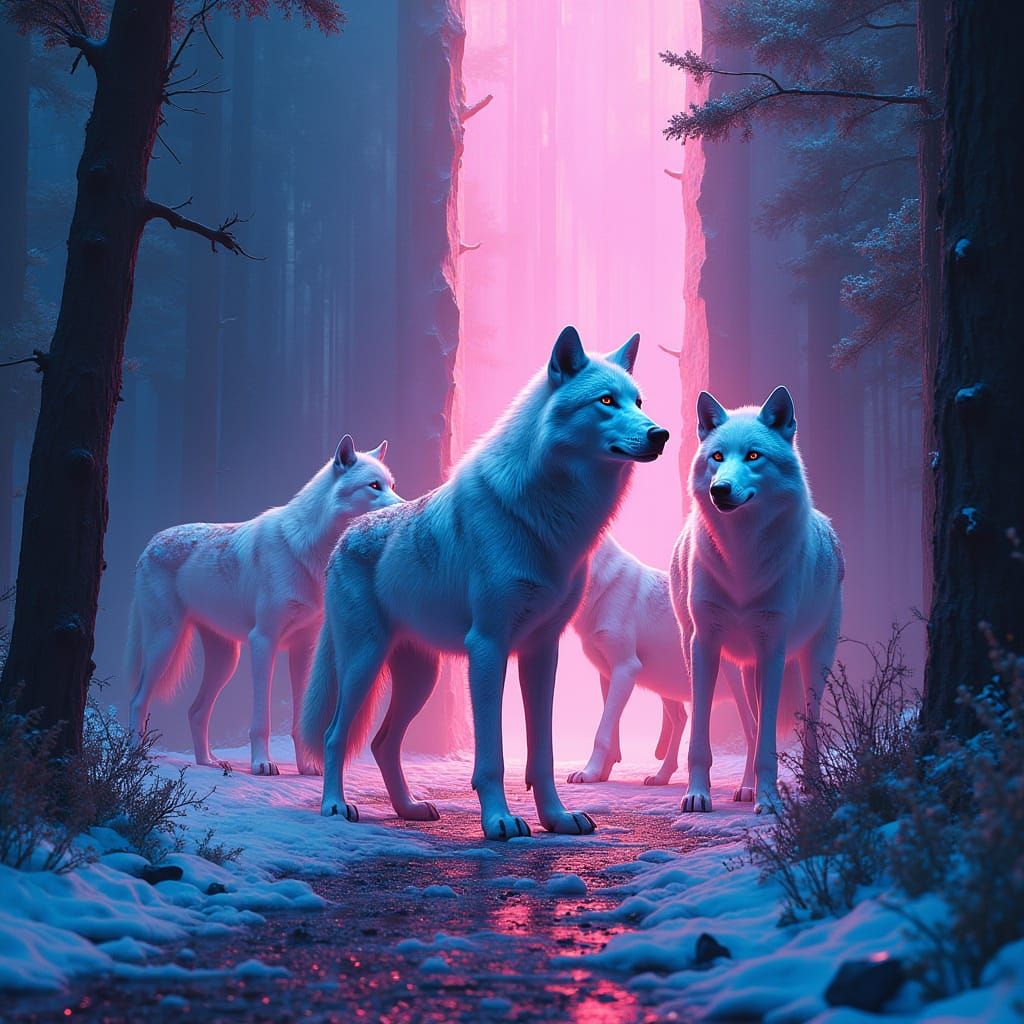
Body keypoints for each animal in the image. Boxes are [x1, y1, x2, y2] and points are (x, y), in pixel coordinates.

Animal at [125, 436, 400, 775]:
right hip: (165, 645)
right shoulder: (262, 642)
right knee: (137, 699)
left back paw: (208, 761)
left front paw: (307, 767)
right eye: (374, 486)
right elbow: (262, 721)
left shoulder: (302, 650)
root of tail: (150, 542)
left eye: (391, 485)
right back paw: (135, 756)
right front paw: (262, 764)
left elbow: (297, 721)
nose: (404, 505)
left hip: (225, 661)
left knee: (196, 711)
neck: (305, 550)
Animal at [299, 326, 669, 840]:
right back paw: (335, 806)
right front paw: (500, 821)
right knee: (336, 736)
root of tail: (344, 538)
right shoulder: (487, 646)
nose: (661, 434)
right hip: (362, 663)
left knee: (382, 743)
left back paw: (409, 808)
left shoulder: (541, 651)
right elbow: (491, 757)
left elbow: (543, 753)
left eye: (638, 401)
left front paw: (557, 818)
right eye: (606, 401)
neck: (549, 517)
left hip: (421, 679)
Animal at [566, 534, 757, 790]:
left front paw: (589, 773)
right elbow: (611, 728)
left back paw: (747, 788)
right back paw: (661, 776)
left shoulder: (625, 669)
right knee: (681, 719)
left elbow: (602, 733)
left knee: (753, 730)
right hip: (666, 682)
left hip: (734, 683)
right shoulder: (608, 674)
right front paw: (602, 774)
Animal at [670, 387, 843, 814]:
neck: (741, 557)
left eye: (753, 456)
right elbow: (701, 738)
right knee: (749, 725)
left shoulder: (773, 648)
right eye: (717, 457)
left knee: (807, 724)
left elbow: (769, 741)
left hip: (813, 661)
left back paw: (811, 785)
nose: (719, 489)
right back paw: (746, 787)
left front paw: (769, 801)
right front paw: (697, 795)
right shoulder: (703, 644)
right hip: (735, 669)